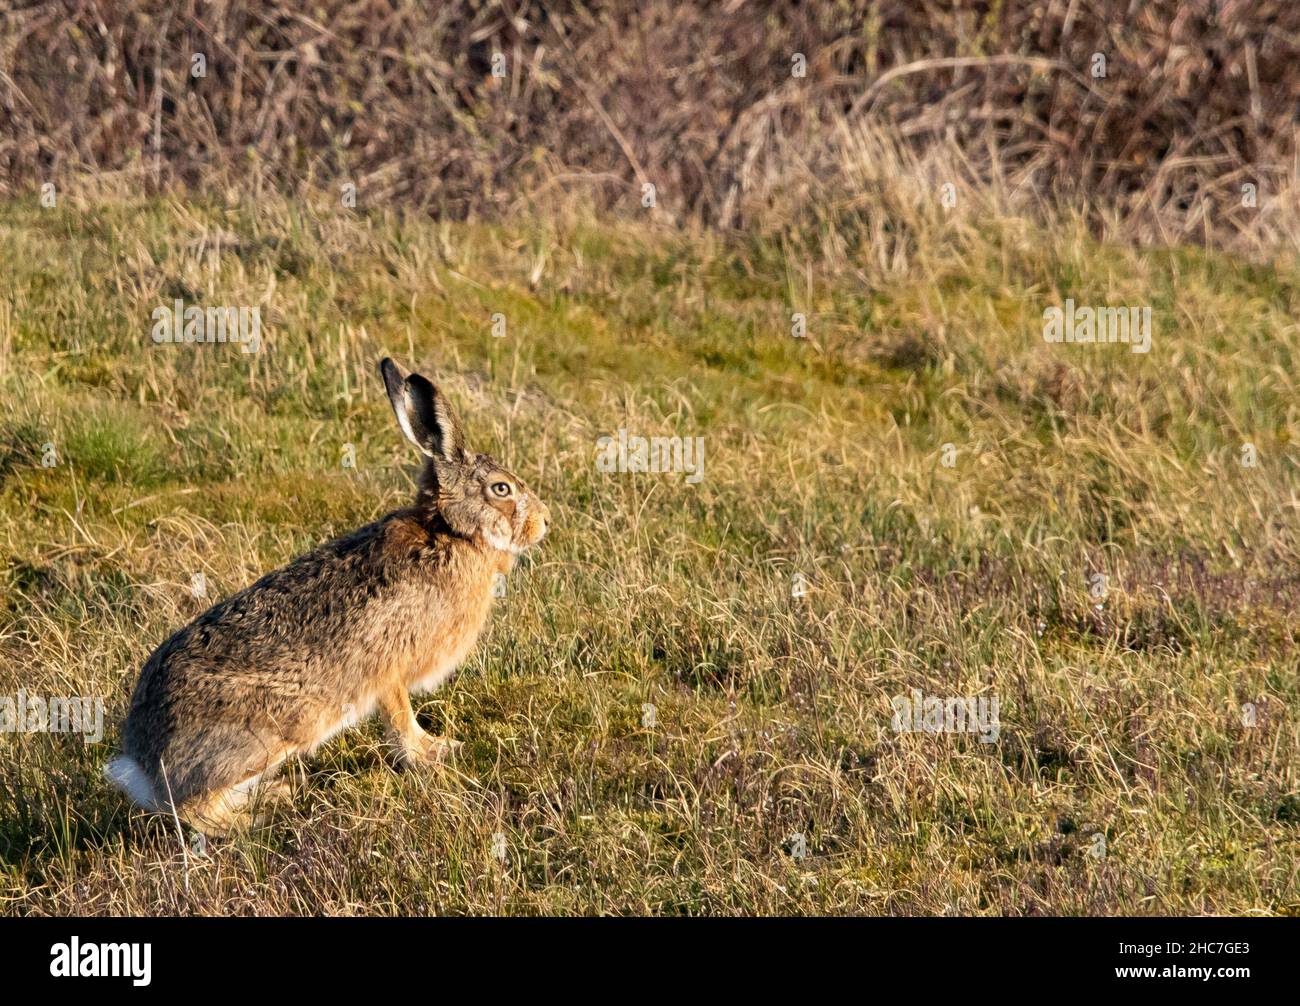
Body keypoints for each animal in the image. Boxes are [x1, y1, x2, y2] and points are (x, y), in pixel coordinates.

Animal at [105, 358, 550, 834]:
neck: (448, 532)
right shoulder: (388, 670)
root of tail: (144, 763)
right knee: (192, 809)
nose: (545, 521)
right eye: (501, 489)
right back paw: (265, 809)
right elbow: (400, 718)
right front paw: (434, 752)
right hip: (277, 727)